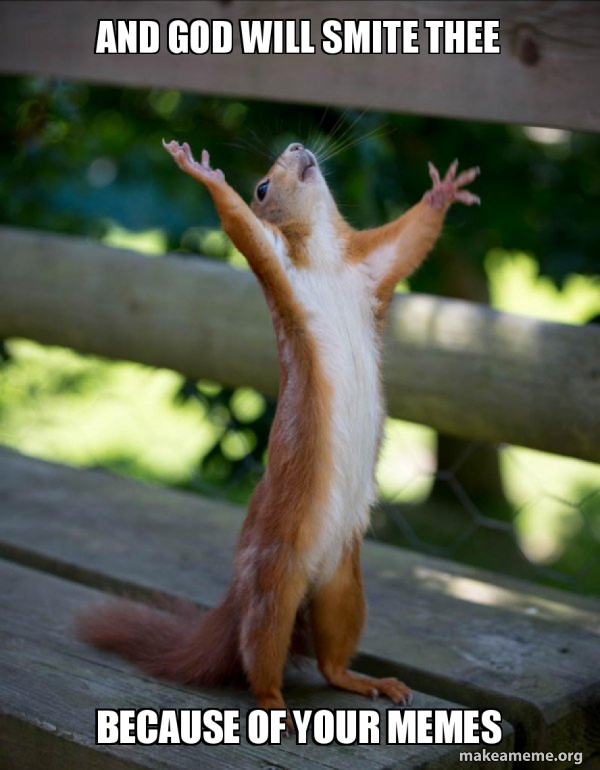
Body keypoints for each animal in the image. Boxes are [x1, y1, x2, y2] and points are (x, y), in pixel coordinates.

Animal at [78, 138, 479, 725]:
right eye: (262, 187)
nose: (296, 146)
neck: (327, 257)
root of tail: (239, 596)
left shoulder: (371, 267)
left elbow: (410, 240)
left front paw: (443, 192)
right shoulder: (277, 265)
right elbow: (240, 225)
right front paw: (204, 173)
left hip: (343, 587)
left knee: (331, 660)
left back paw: (367, 680)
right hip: (274, 584)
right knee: (259, 655)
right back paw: (275, 704)